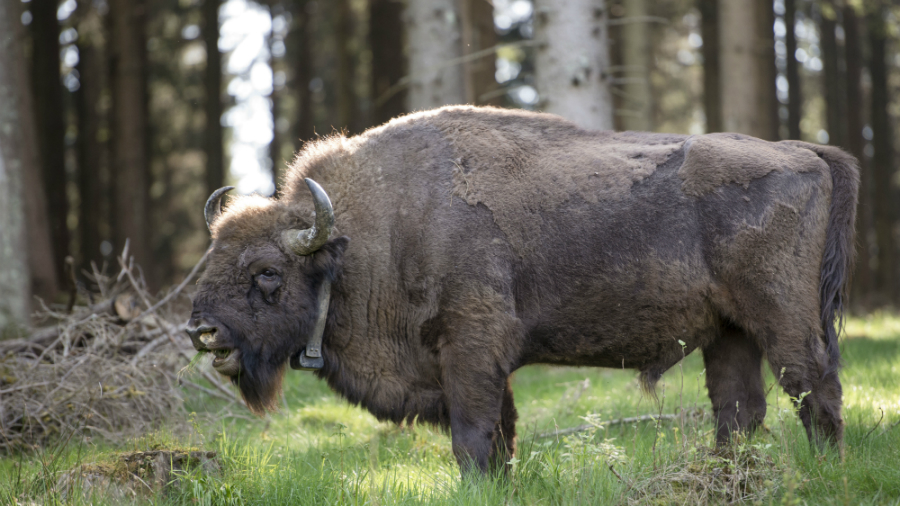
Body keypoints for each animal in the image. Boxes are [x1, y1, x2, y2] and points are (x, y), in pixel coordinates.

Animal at [186, 106, 858, 474]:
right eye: (210, 257)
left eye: (267, 272)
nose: (201, 330)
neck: (366, 237)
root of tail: (803, 152)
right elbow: (501, 438)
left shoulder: (471, 351)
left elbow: (474, 438)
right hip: (729, 332)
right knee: (740, 409)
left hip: (782, 319)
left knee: (813, 390)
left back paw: (826, 470)